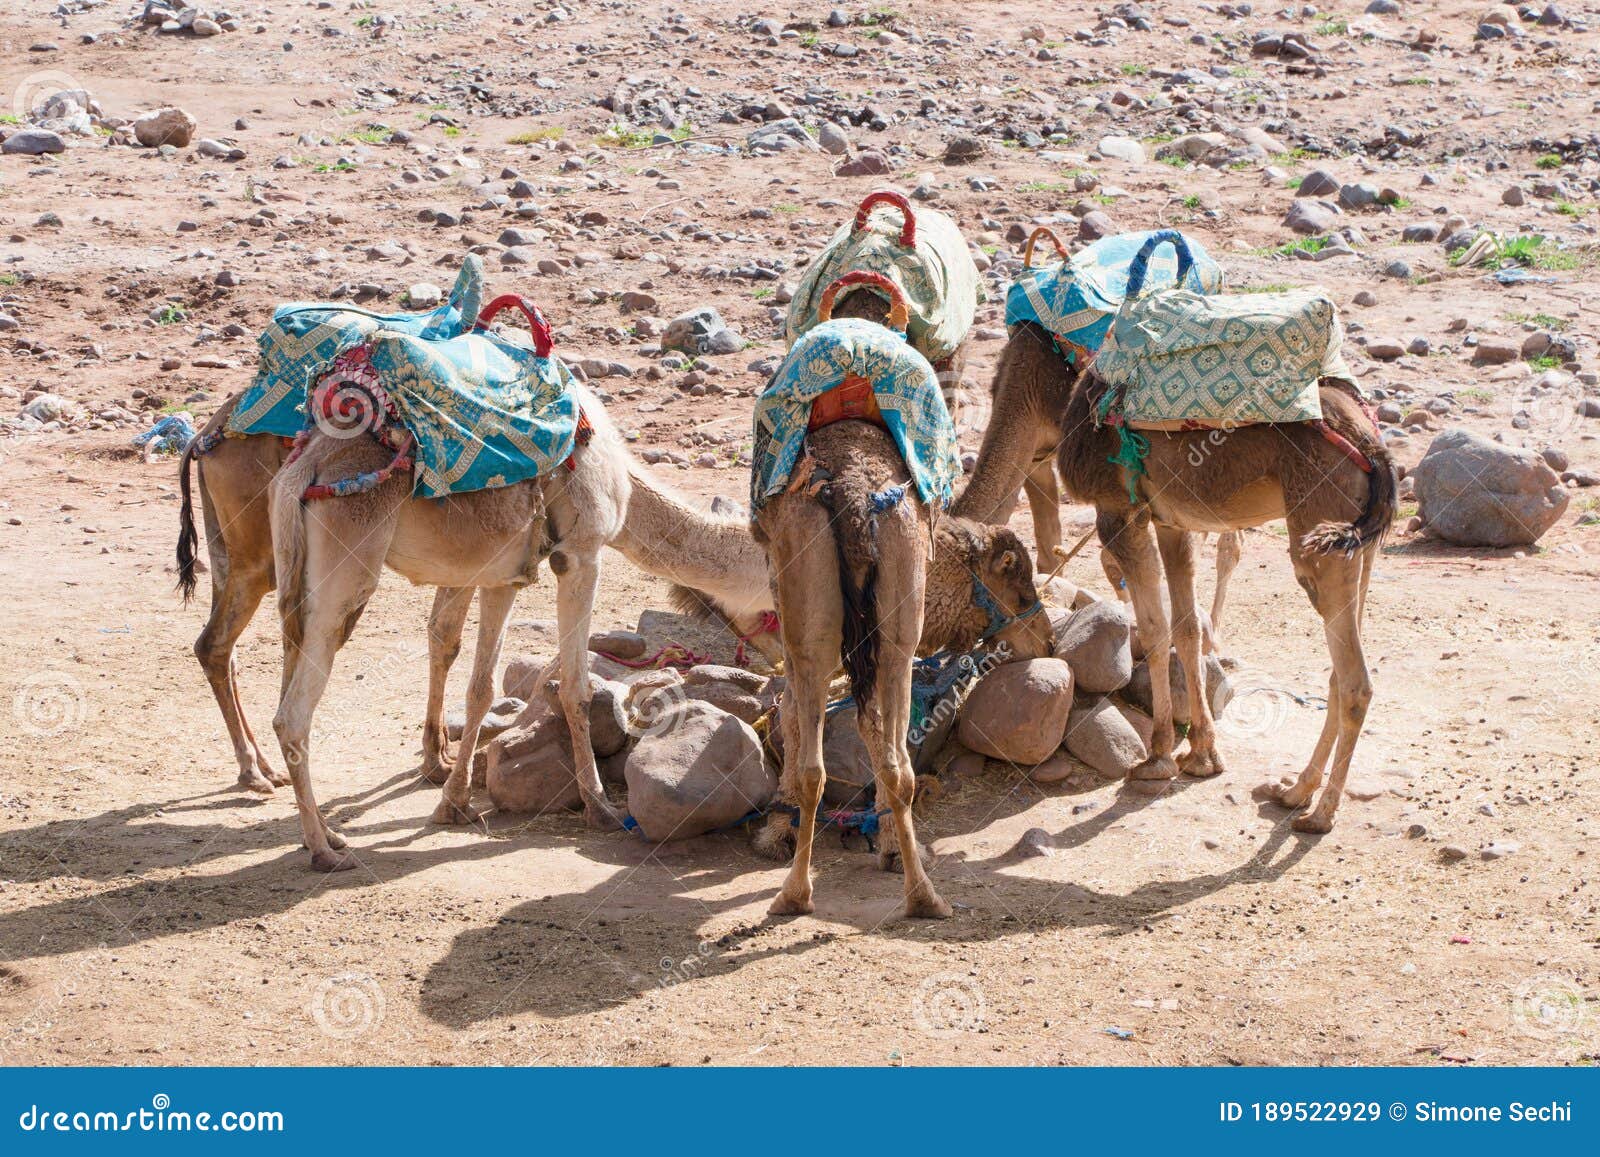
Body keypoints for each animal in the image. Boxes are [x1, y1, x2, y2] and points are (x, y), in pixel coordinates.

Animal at [177, 394, 777, 796]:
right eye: (774, 606)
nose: (778, 666)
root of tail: (203, 435)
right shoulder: (579, 553)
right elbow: (567, 684)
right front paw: (592, 800)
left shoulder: (480, 565)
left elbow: (445, 642)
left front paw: (437, 763)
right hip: (269, 557)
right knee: (224, 645)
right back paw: (259, 775)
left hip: (245, 551)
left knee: (232, 645)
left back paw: (263, 770)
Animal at [751, 276, 1052, 919]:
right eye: (1017, 585)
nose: (1049, 638)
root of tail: (850, 492)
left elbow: (811, 714)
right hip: (889, 617)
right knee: (887, 761)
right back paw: (921, 895)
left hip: (819, 615)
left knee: (829, 748)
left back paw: (798, 891)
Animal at [958, 316, 1396, 832]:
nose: (1036, 641)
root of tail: (1370, 443)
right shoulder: (1171, 521)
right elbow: (1185, 629)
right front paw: (1203, 755)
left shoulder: (1118, 511)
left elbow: (1154, 627)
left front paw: (1158, 757)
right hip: (1357, 548)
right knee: (1336, 669)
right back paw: (1293, 791)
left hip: (1318, 533)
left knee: (1355, 682)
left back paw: (1320, 814)